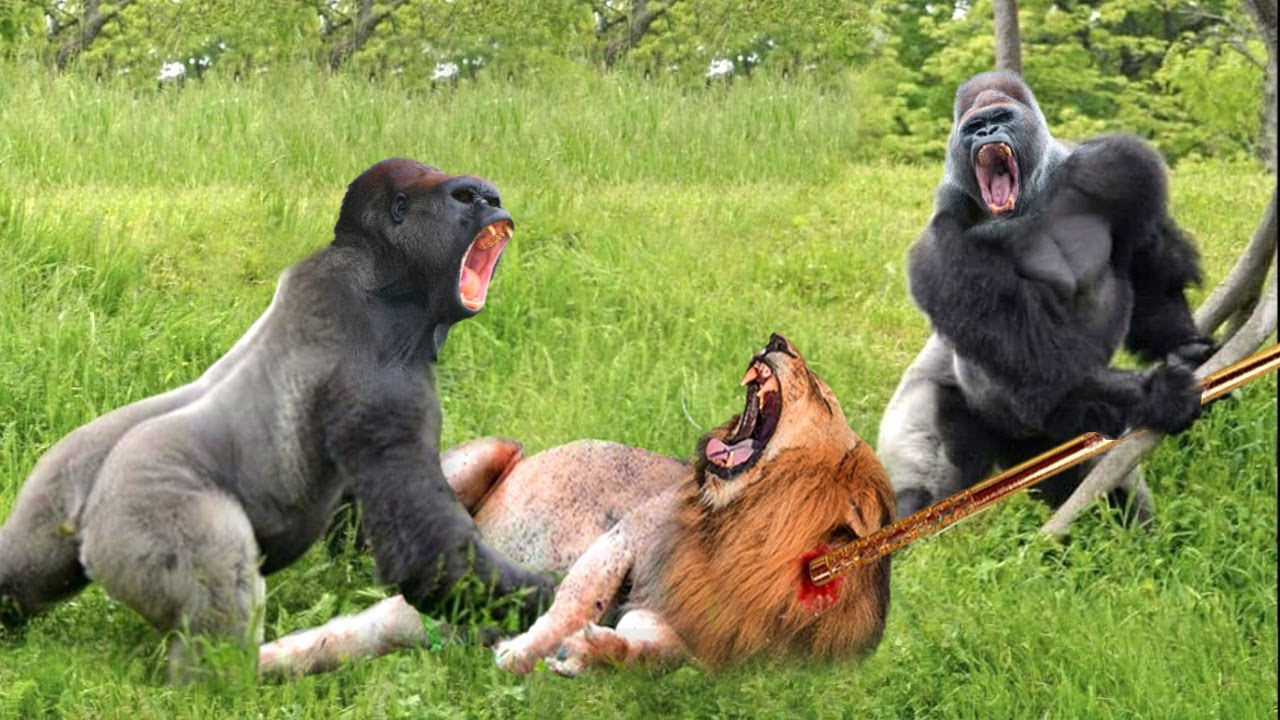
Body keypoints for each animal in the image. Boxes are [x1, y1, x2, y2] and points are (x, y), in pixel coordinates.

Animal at [258, 333, 894, 677]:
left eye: (823, 397)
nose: (778, 341)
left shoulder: (673, 632)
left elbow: (645, 653)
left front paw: (594, 653)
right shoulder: (623, 537)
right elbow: (572, 604)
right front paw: (523, 653)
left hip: (403, 618)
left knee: (335, 630)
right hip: (489, 453)